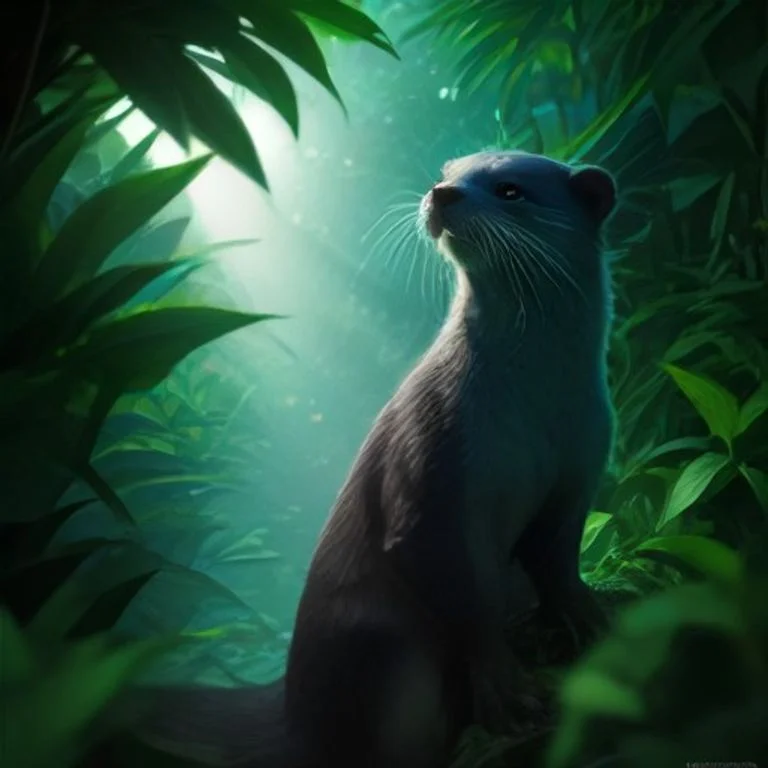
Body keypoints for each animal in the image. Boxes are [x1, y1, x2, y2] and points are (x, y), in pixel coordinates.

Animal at [118, 150, 617, 768]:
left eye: (509, 189)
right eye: (449, 170)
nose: (442, 192)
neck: (534, 404)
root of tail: (294, 705)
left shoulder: (580, 466)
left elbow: (558, 558)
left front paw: (587, 615)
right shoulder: (431, 473)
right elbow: (468, 607)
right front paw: (510, 695)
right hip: (382, 653)